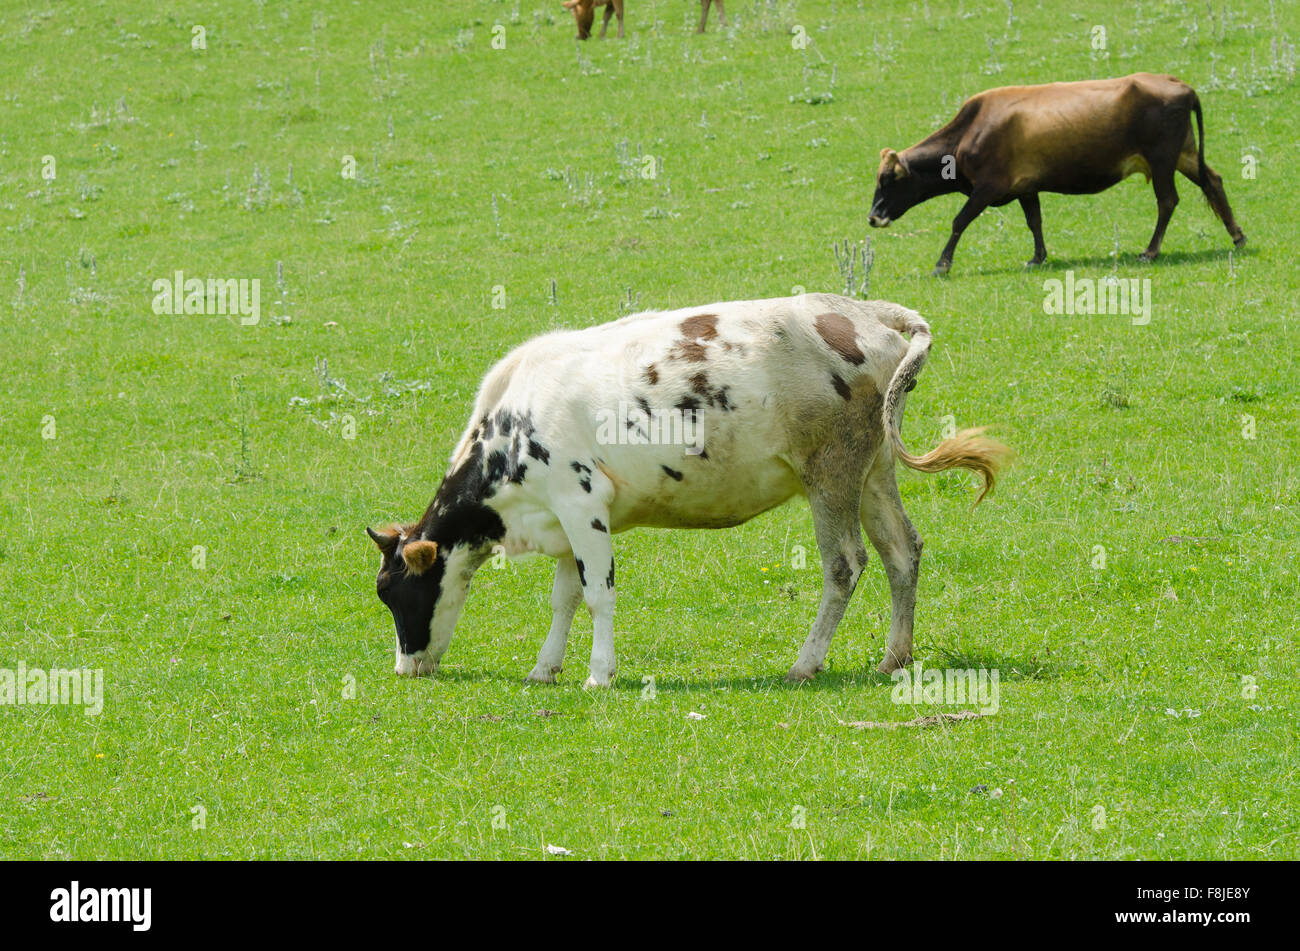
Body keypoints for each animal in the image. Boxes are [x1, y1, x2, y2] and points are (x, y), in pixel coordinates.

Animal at [367, 294, 1009, 687]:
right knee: (902, 550)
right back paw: (894, 657)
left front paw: (599, 674)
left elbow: (597, 596)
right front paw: (545, 669)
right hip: (872, 469)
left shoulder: (583, 506)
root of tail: (859, 310)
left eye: (394, 593)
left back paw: (805, 663)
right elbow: (564, 598)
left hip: (830, 471)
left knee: (844, 564)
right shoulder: (563, 519)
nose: (404, 668)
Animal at [867, 73, 1247, 275]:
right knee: (1213, 182)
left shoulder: (989, 187)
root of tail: (1178, 84)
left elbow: (959, 220)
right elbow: (1035, 221)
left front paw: (942, 264)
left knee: (1167, 200)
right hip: (1185, 155)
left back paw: (1150, 251)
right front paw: (1038, 257)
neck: (971, 130)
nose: (873, 217)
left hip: (1162, 159)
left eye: (888, 180)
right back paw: (1237, 235)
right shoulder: (1026, 187)